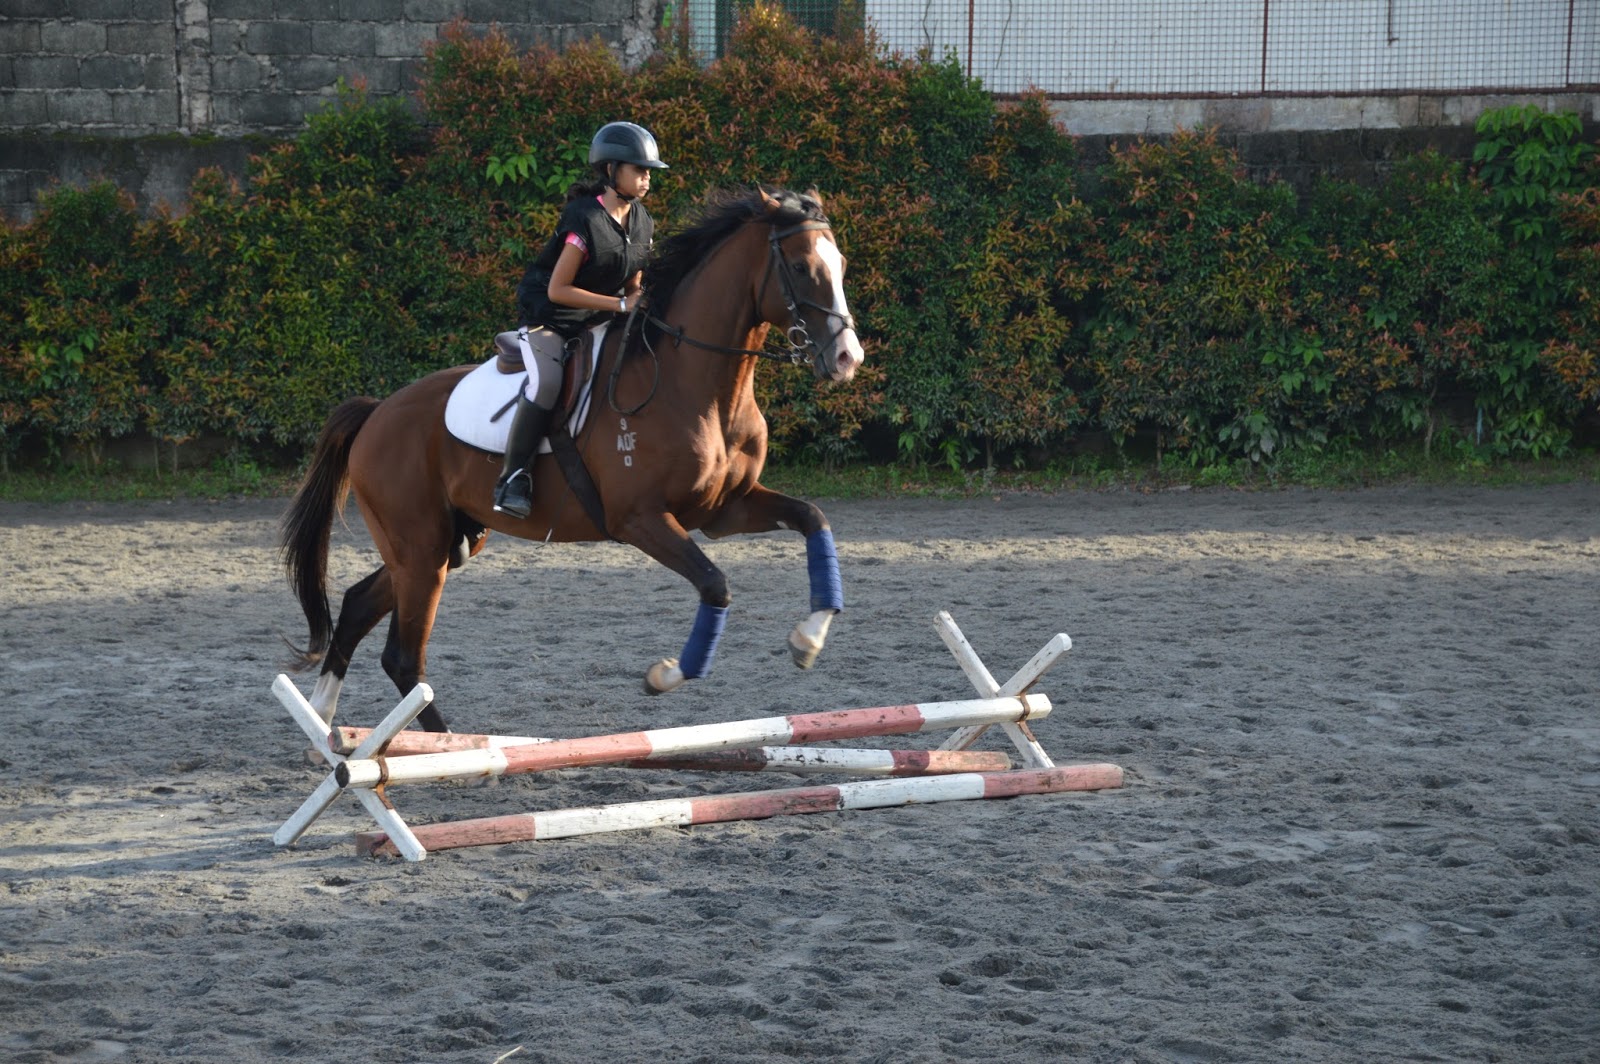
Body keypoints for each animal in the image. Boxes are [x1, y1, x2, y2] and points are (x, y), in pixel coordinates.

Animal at [280, 186, 865, 732]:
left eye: (839, 265)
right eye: (799, 267)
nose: (847, 359)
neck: (698, 386)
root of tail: (377, 412)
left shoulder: (724, 511)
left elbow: (813, 518)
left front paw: (808, 640)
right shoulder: (639, 519)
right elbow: (715, 583)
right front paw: (666, 674)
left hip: (440, 544)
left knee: (359, 605)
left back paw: (325, 722)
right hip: (420, 549)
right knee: (403, 656)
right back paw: (443, 749)